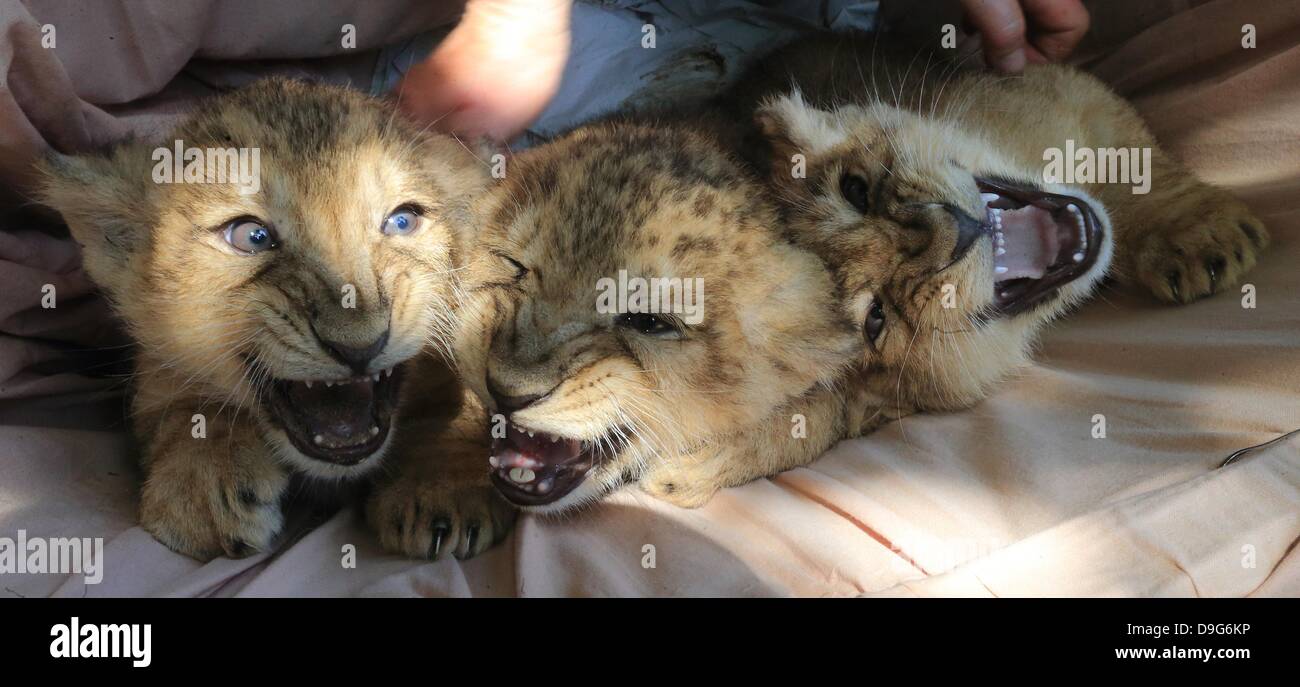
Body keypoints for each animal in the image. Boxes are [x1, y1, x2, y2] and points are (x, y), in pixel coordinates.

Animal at [38, 78, 511, 561]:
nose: (359, 346)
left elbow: (463, 404)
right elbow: (182, 407)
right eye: (252, 236)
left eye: (402, 221)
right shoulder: (157, 372)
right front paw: (203, 490)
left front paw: (444, 489)